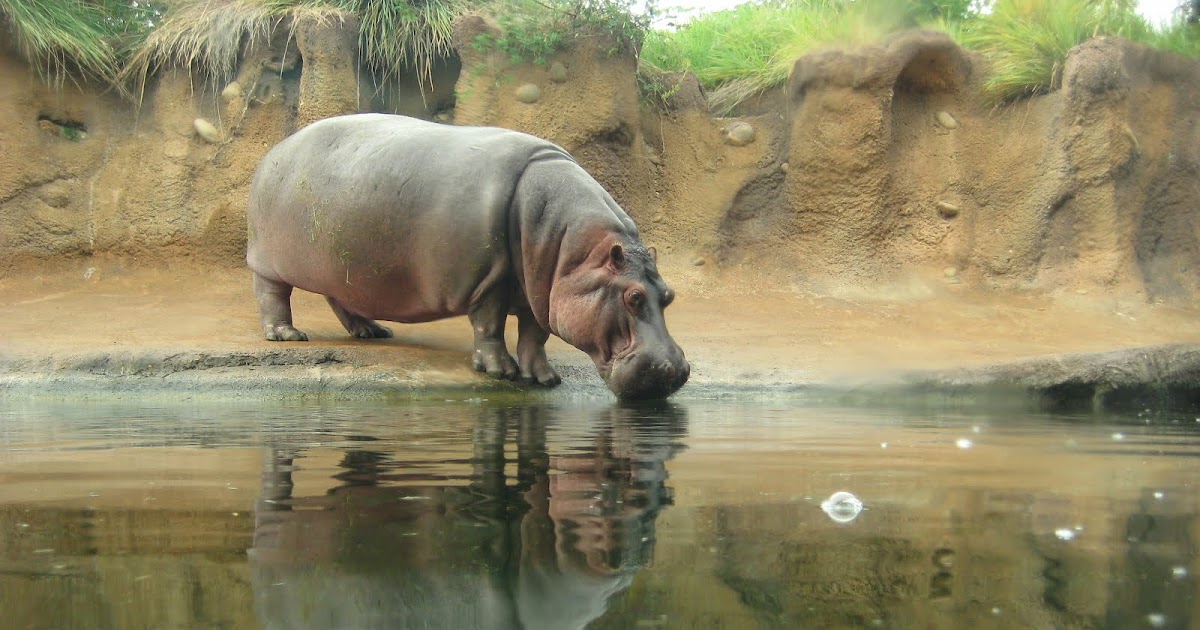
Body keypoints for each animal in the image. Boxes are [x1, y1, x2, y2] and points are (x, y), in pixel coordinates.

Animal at [246, 114, 688, 399]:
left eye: (668, 295)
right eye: (633, 296)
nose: (674, 371)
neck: (573, 250)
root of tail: (274, 150)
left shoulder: (542, 289)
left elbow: (535, 335)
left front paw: (544, 379)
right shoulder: (489, 278)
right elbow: (489, 325)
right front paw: (501, 372)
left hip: (344, 265)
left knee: (342, 299)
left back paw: (372, 331)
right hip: (270, 260)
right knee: (273, 295)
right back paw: (287, 335)